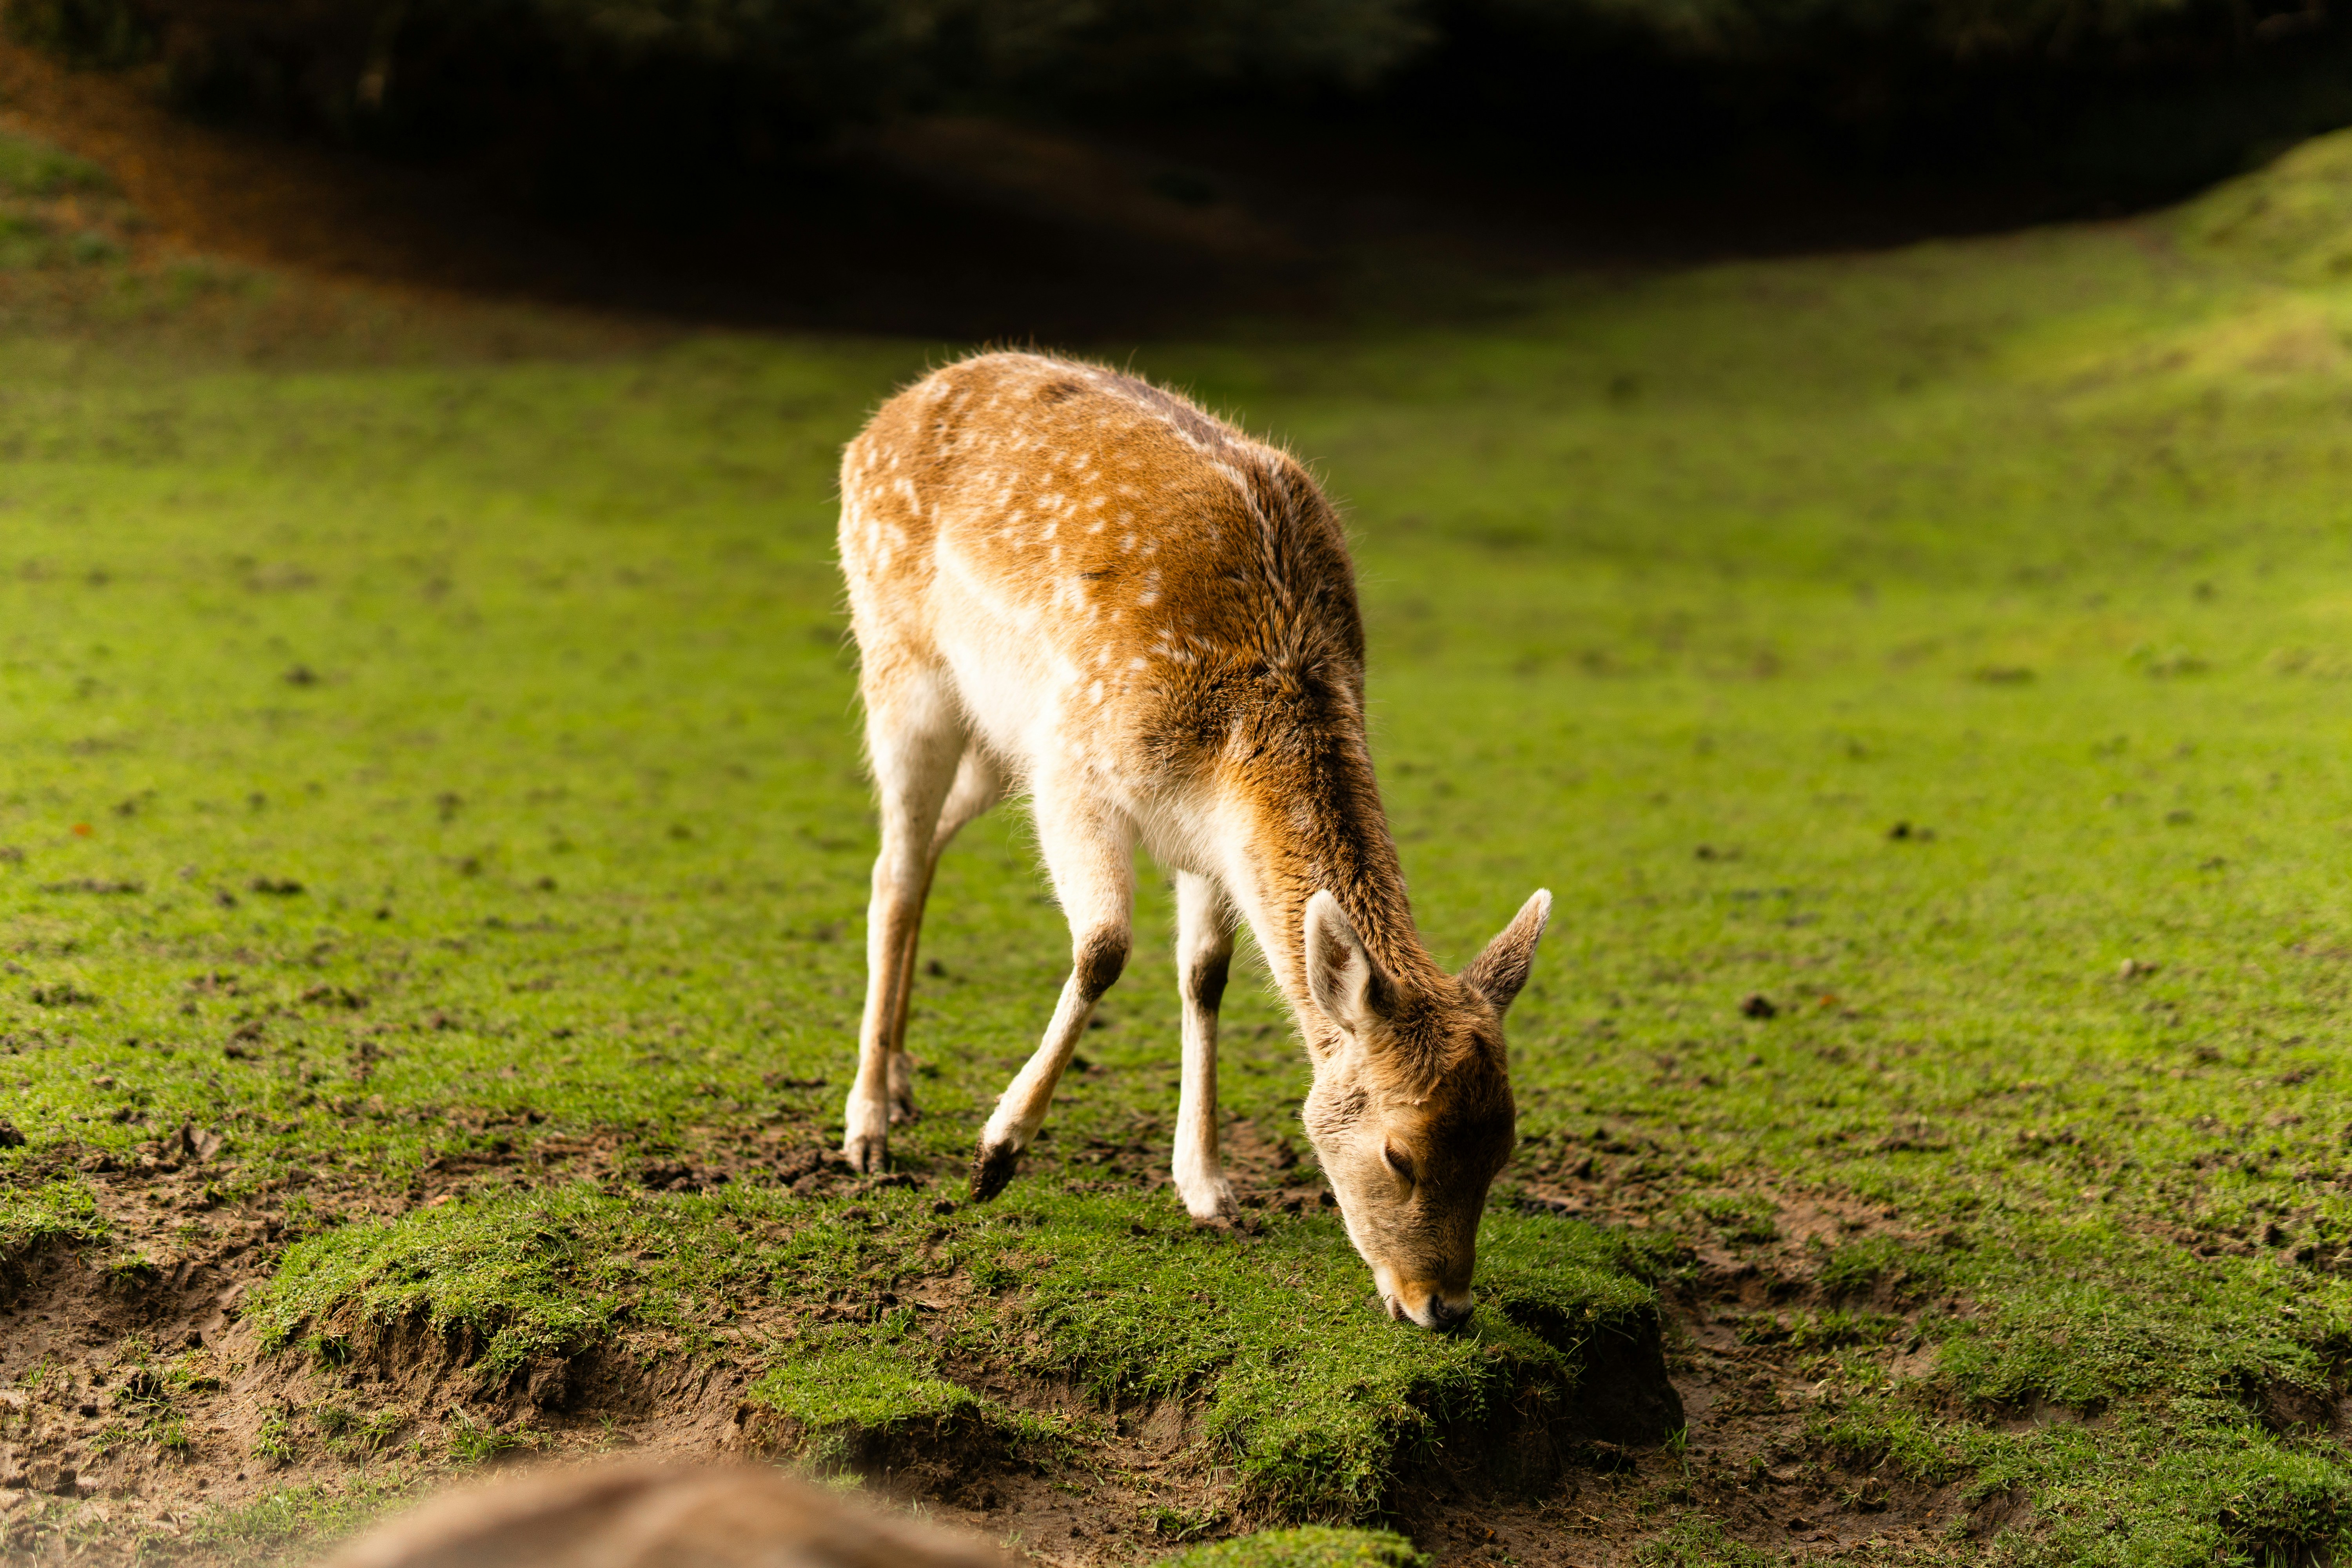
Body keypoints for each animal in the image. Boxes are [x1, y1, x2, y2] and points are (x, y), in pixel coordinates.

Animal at [836, 351, 1550, 1329]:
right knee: (893, 866)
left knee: (927, 850)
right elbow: (1103, 947)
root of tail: (891, 409)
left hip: (993, 740)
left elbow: (1205, 974)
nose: (1442, 1305)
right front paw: (996, 1155)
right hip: (901, 666)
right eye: (1399, 1152)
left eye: (1503, 1148)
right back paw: (867, 1123)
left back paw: (903, 1079)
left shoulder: (1210, 840)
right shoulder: (1075, 769)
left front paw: (1206, 1185)